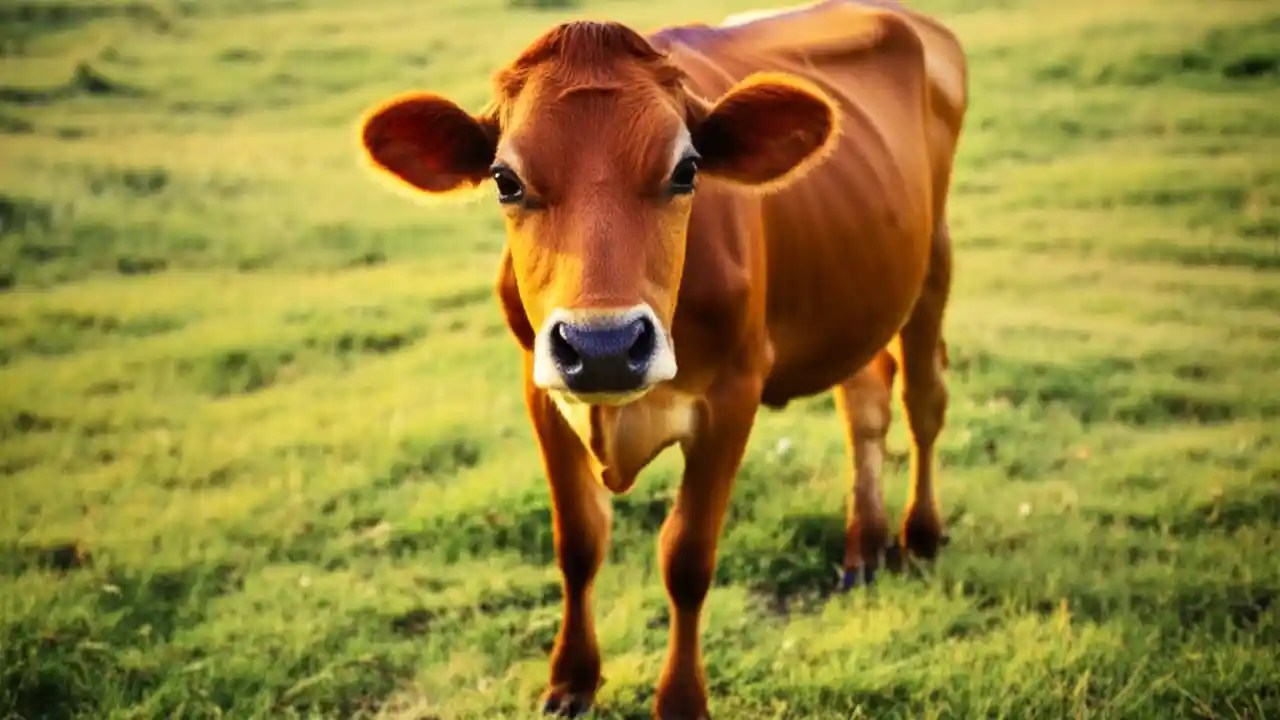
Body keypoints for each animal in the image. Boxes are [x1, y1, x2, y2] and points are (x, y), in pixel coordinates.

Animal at [358, 0, 966, 717]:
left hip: (934, 259)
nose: (604, 347)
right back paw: (864, 546)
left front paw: (679, 699)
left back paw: (920, 535)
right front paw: (571, 678)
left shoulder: (734, 394)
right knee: (866, 404)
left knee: (924, 402)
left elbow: (687, 557)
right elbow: (578, 542)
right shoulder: (541, 390)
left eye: (687, 171)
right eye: (505, 180)